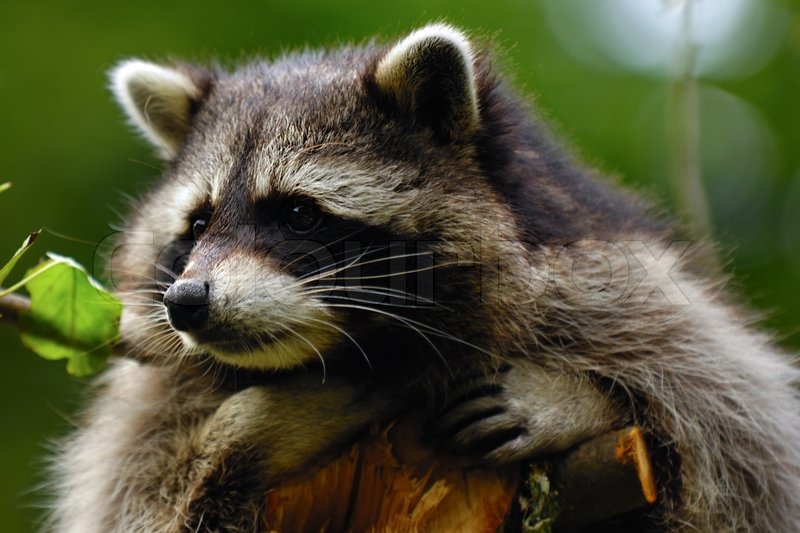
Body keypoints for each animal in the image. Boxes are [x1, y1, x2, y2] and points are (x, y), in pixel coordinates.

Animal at [48, 24, 800, 532]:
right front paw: (259, 426)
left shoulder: (617, 279)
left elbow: (741, 446)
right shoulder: (152, 403)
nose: (187, 301)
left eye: (297, 212)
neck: (362, 344)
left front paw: (577, 400)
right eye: (199, 223)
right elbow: (145, 494)